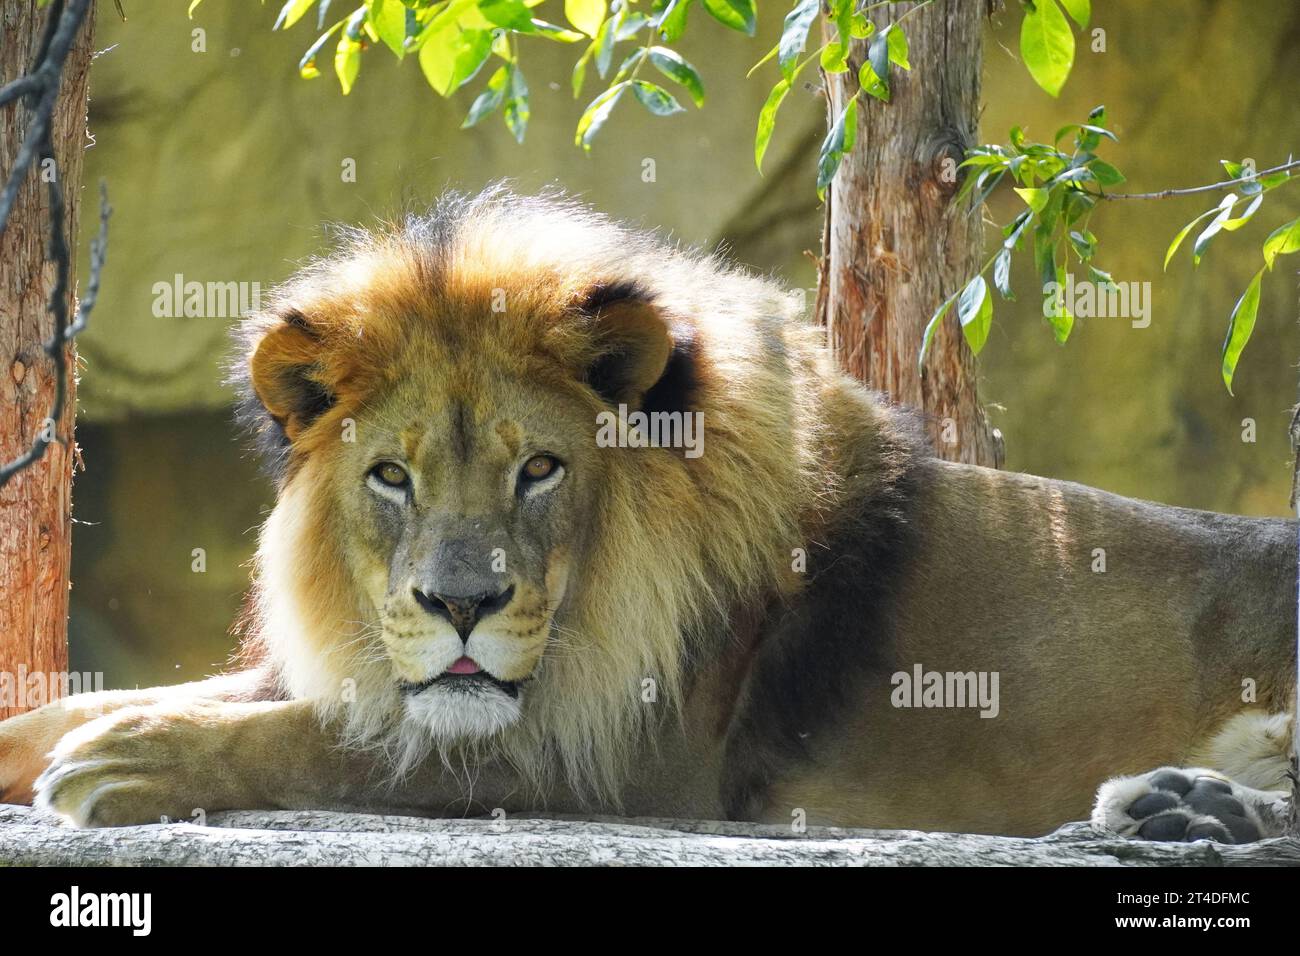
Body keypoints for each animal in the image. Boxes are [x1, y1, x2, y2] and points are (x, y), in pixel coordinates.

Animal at [0, 186, 1294, 842]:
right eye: (391, 477)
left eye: (539, 469)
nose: (461, 605)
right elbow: (186, 698)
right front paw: (68, 734)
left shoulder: (627, 754)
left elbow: (338, 744)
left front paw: (126, 759)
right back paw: (1176, 802)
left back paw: (1188, 805)